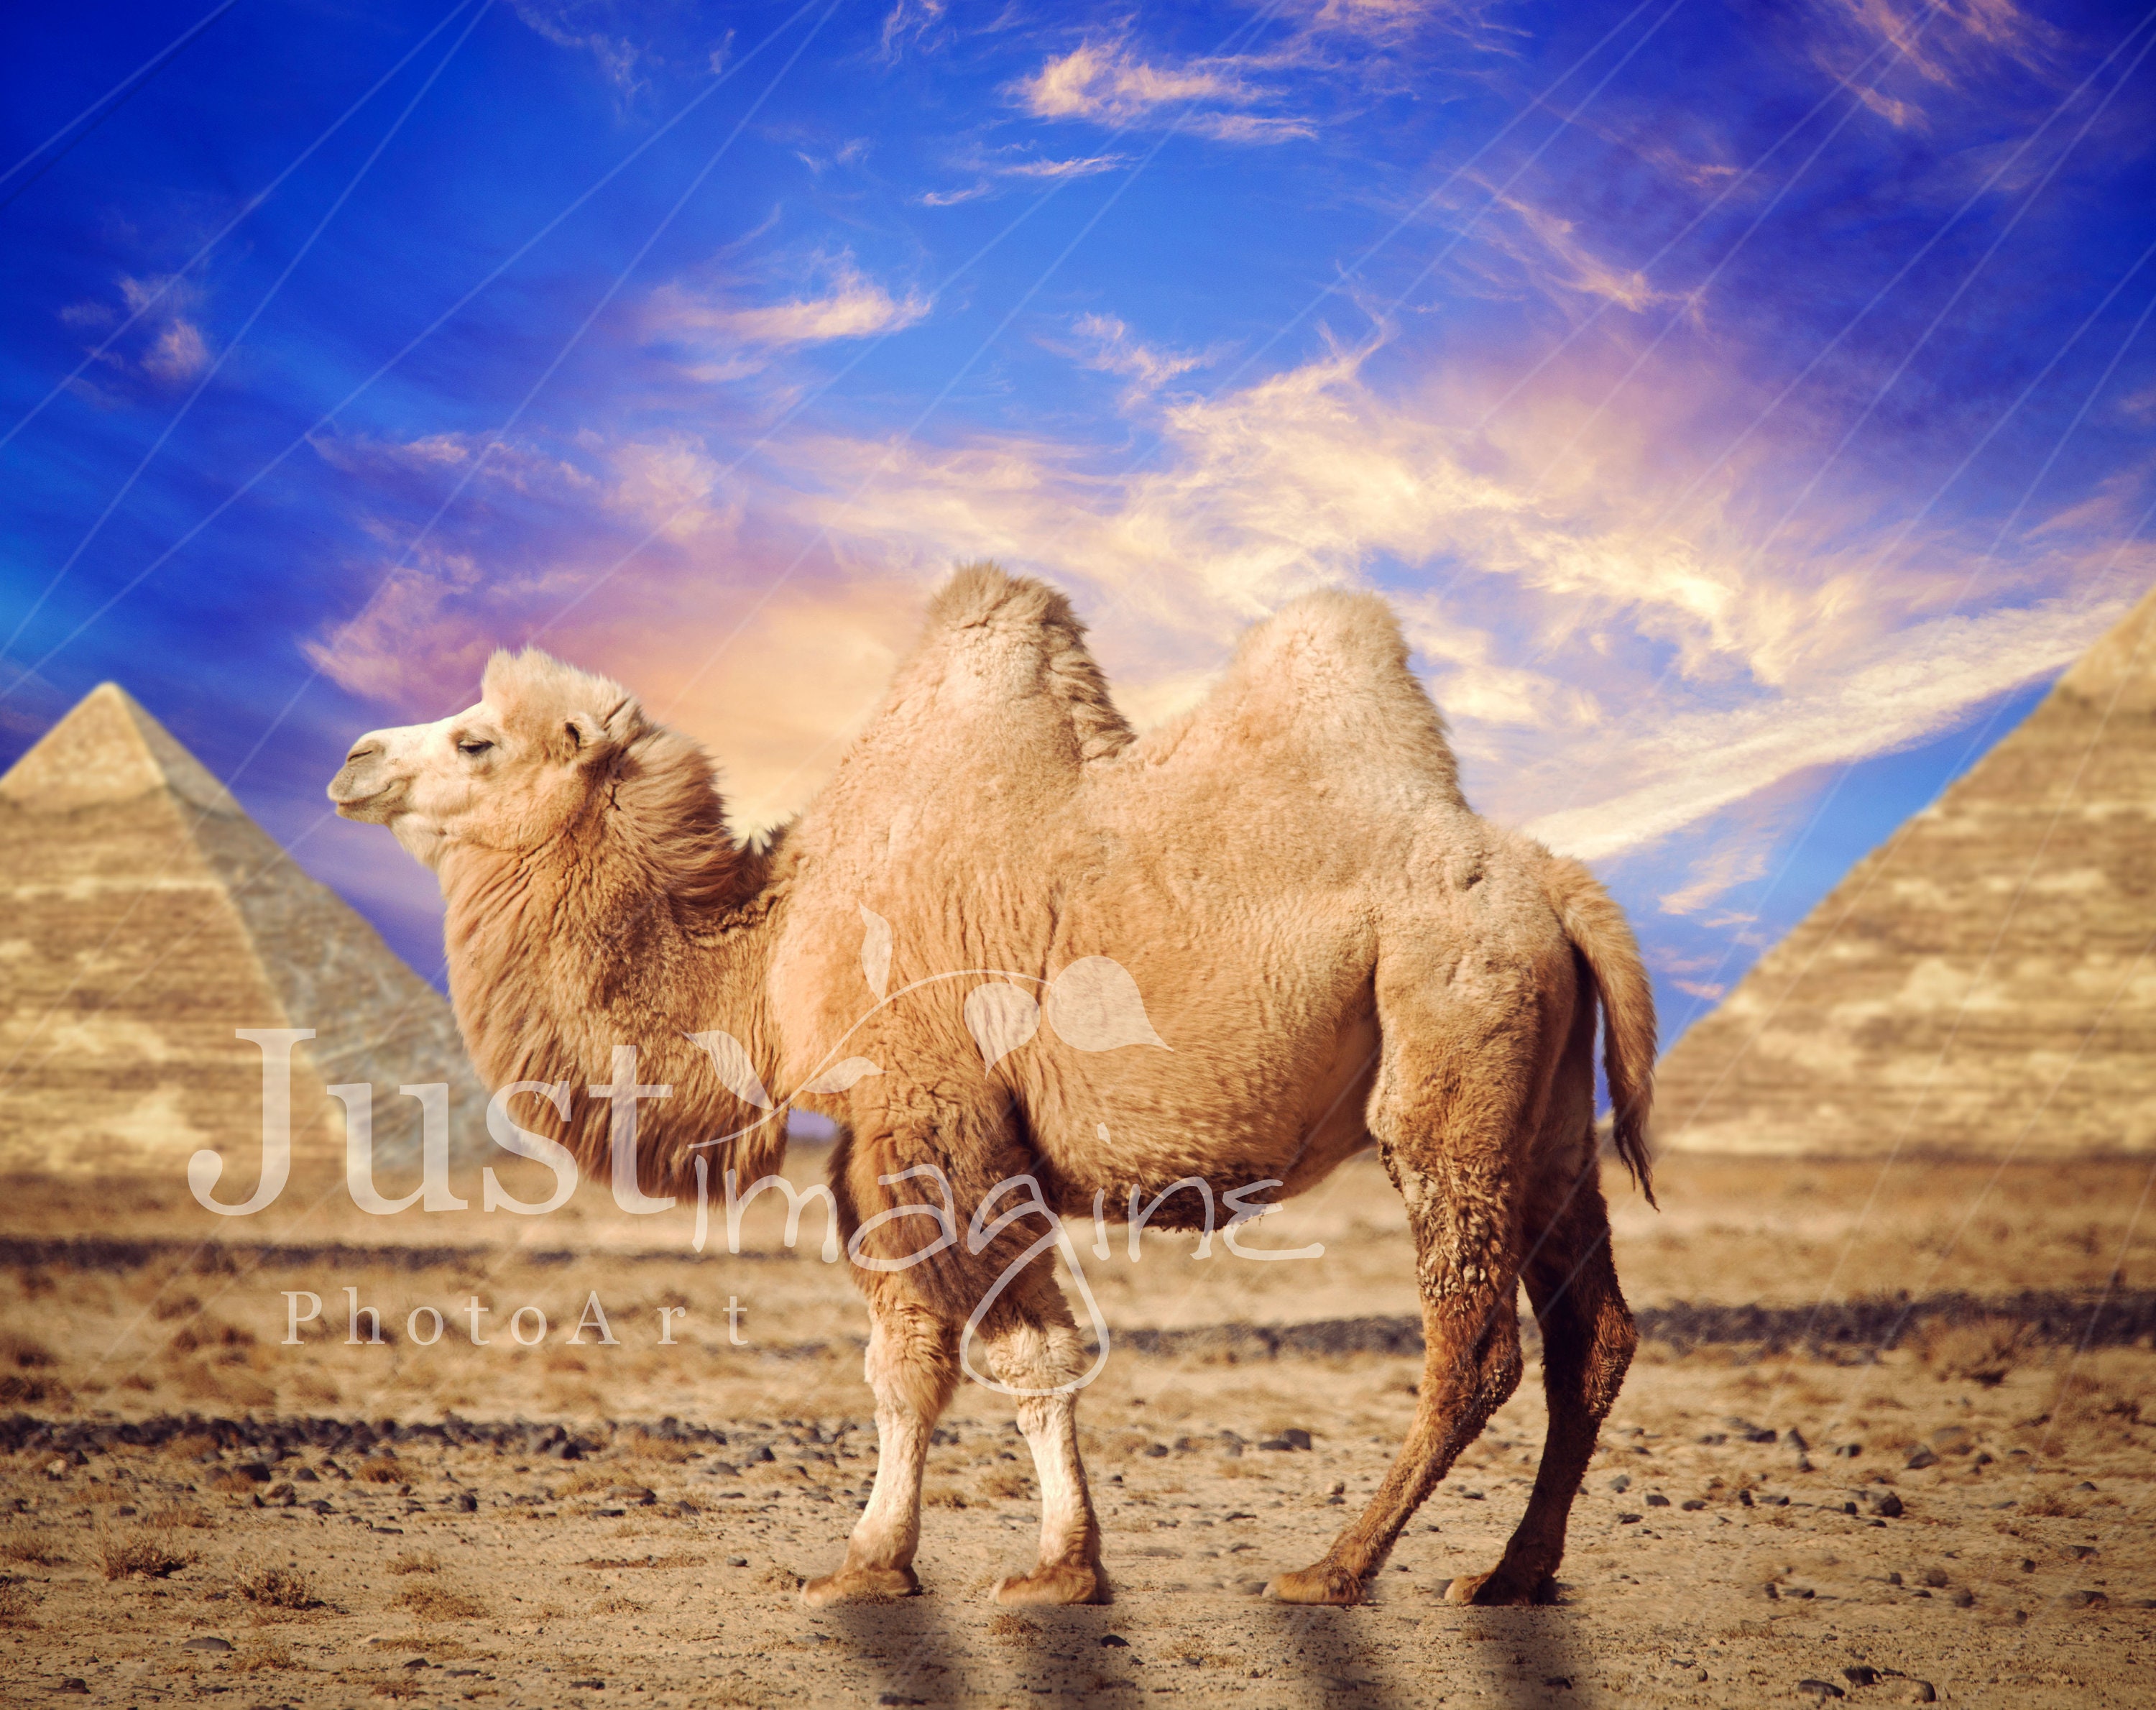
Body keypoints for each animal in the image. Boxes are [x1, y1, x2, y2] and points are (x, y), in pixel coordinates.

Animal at [328, 563, 1655, 1610]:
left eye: (478, 739)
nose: (352, 761)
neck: (767, 948)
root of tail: (1560, 886)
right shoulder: (899, 1135)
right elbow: (938, 1354)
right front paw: (938, 1561)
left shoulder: (932, 1106)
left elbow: (989, 1352)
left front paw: (983, 1566)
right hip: (1543, 1112)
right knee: (1593, 1330)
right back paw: (1512, 1571)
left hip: (1451, 1056)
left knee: (1474, 1339)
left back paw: (1334, 1567)